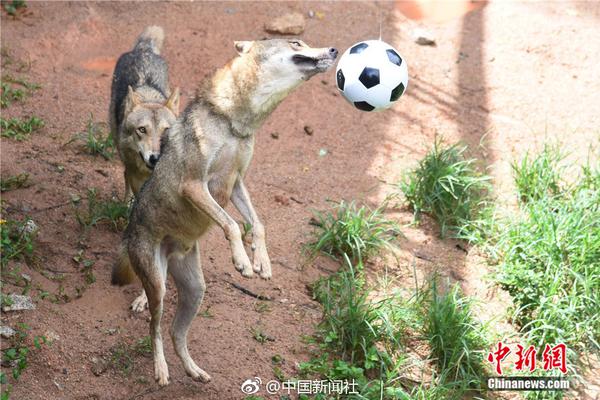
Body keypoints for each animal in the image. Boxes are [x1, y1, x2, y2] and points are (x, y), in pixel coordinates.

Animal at [112, 39, 338, 386]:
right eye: (296, 42)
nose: (335, 50)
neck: (235, 124)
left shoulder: (235, 182)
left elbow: (258, 224)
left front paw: (262, 261)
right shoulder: (195, 185)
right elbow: (232, 225)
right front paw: (243, 262)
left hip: (195, 291)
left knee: (177, 335)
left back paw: (194, 371)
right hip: (160, 287)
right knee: (154, 327)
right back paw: (161, 370)